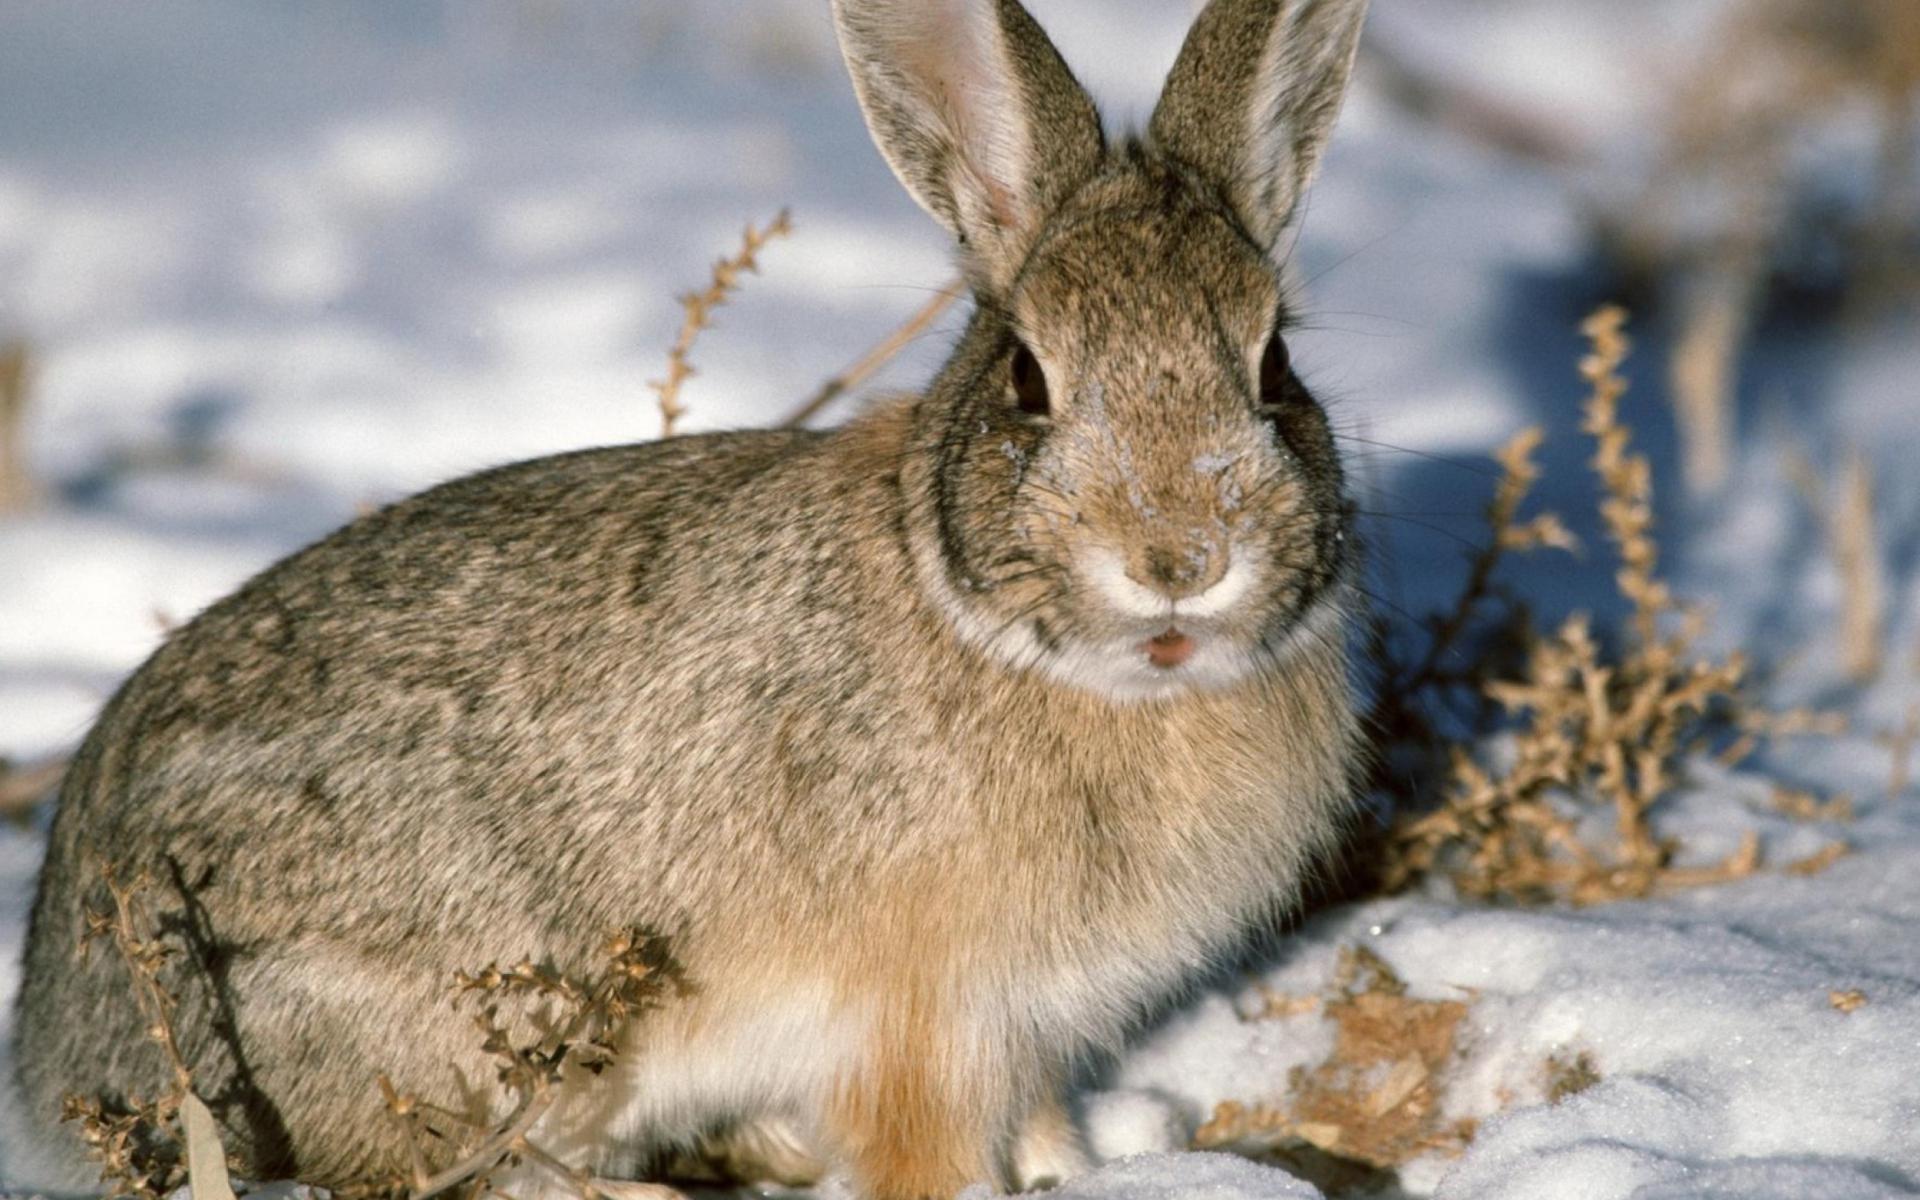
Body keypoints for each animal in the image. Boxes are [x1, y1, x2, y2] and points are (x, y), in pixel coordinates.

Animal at [10, 0, 1371, 1197]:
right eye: (1028, 381)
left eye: (1274, 367)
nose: (1181, 557)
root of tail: (52, 1044)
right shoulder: (918, 1025)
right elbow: (922, 1154)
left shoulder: (1026, 1030)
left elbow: (1037, 1123)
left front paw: (1077, 1174)